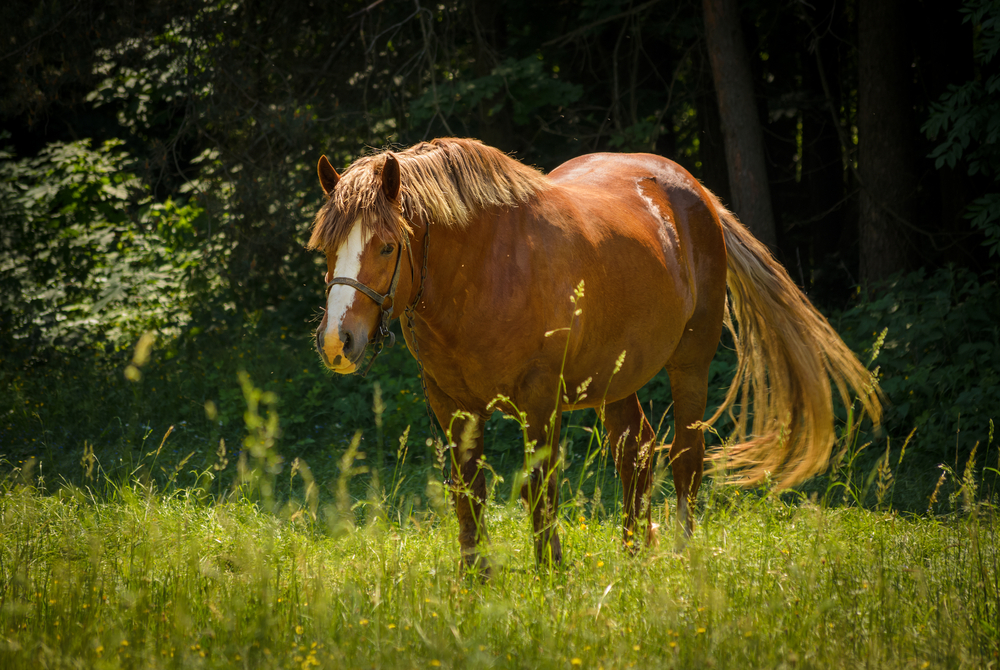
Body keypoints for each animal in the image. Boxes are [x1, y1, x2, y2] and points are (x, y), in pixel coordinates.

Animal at [307, 137, 881, 569]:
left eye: (386, 245)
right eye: (329, 249)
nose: (338, 342)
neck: (488, 269)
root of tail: (696, 192)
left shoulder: (539, 402)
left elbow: (541, 489)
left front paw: (549, 572)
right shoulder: (451, 406)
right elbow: (468, 492)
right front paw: (476, 578)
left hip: (689, 364)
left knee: (685, 458)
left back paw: (680, 553)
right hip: (618, 380)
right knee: (636, 453)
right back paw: (632, 554)